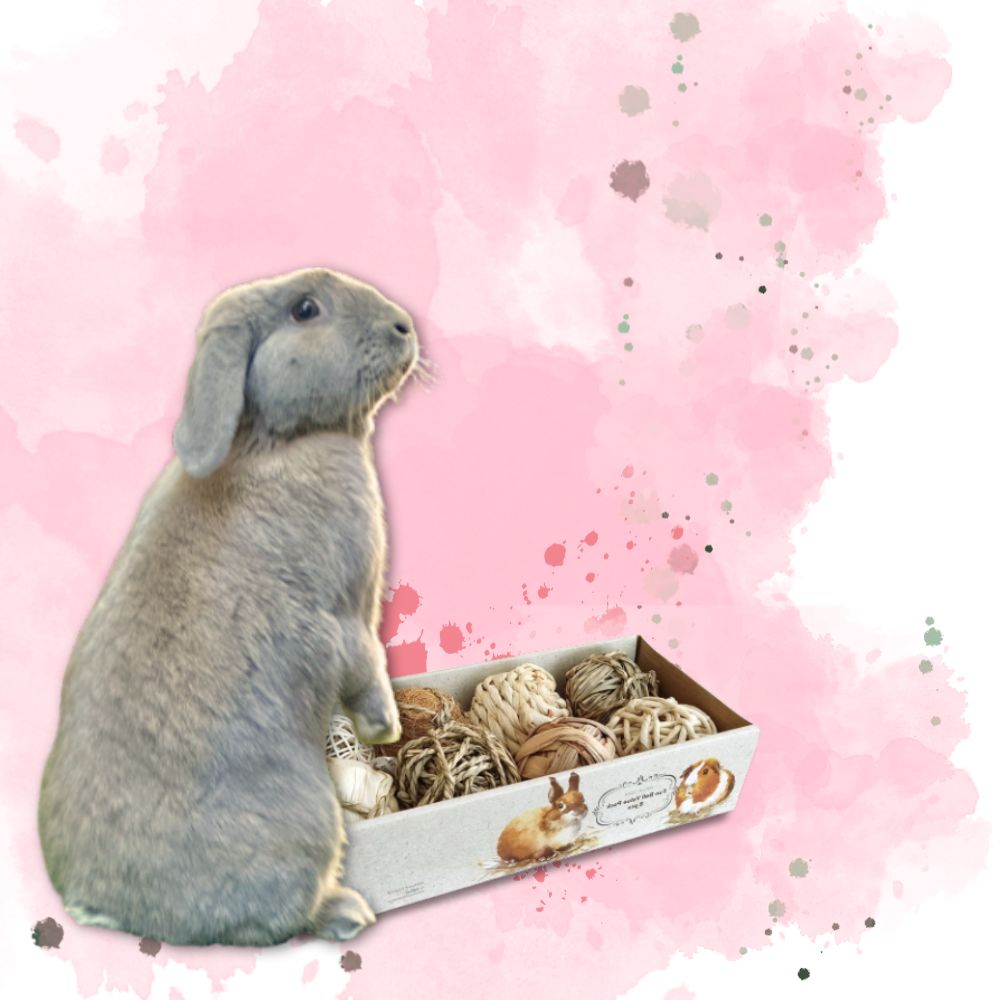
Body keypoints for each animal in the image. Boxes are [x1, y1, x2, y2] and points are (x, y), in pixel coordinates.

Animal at [37, 267, 419, 946]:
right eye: (305, 309)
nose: (404, 327)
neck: (277, 440)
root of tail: (116, 913)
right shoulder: (349, 611)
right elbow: (366, 665)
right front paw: (386, 729)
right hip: (312, 824)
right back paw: (348, 912)